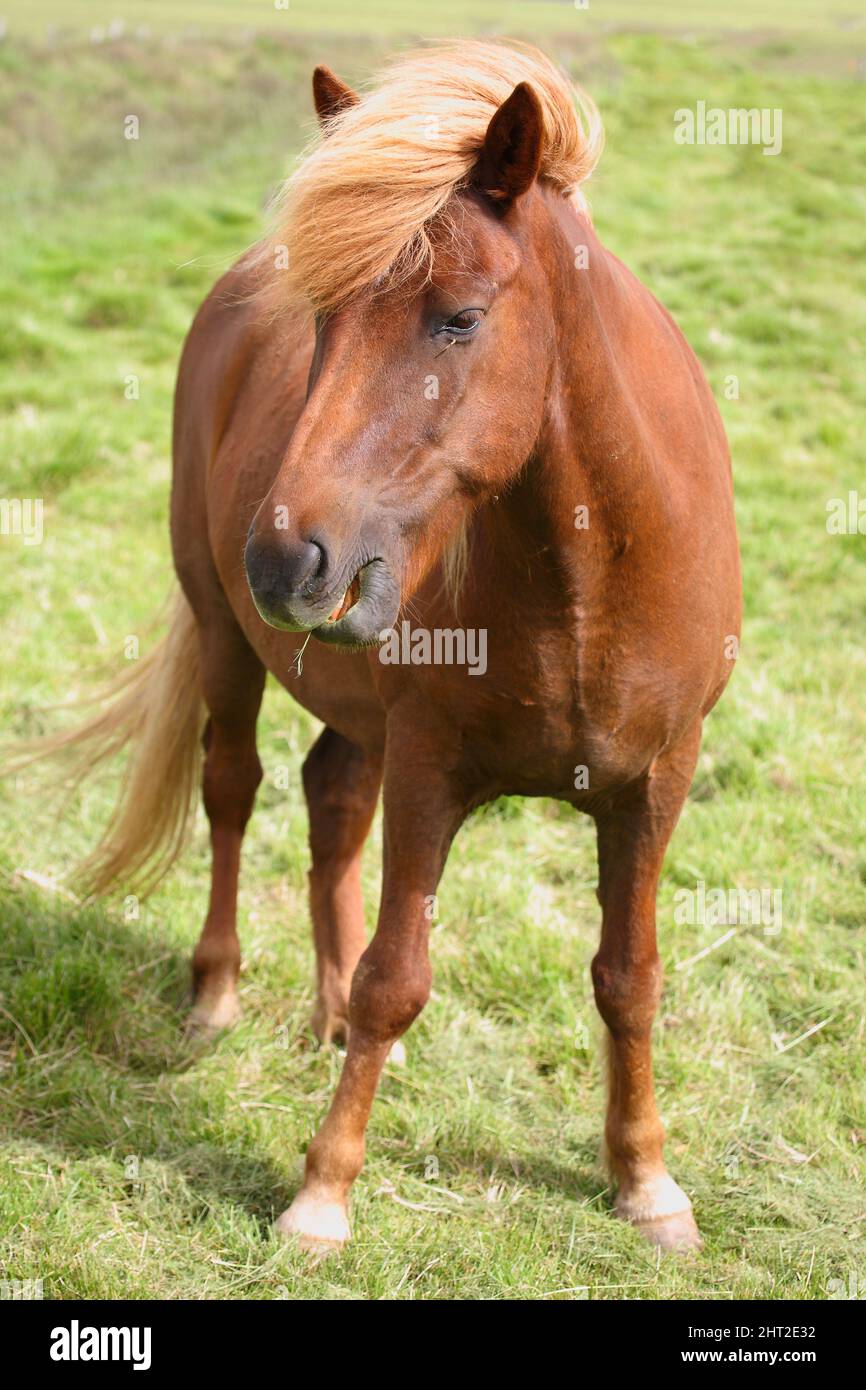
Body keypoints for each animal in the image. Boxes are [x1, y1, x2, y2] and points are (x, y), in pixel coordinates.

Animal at [14, 39, 740, 1255]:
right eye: (324, 319)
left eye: (459, 318)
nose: (283, 559)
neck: (589, 579)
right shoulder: (433, 769)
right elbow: (396, 977)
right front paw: (322, 1192)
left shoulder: (655, 780)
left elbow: (627, 976)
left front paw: (646, 1181)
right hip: (226, 638)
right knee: (232, 787)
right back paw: (217, 993)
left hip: (359, 711)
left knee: (330, 803)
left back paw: (317, 1010)